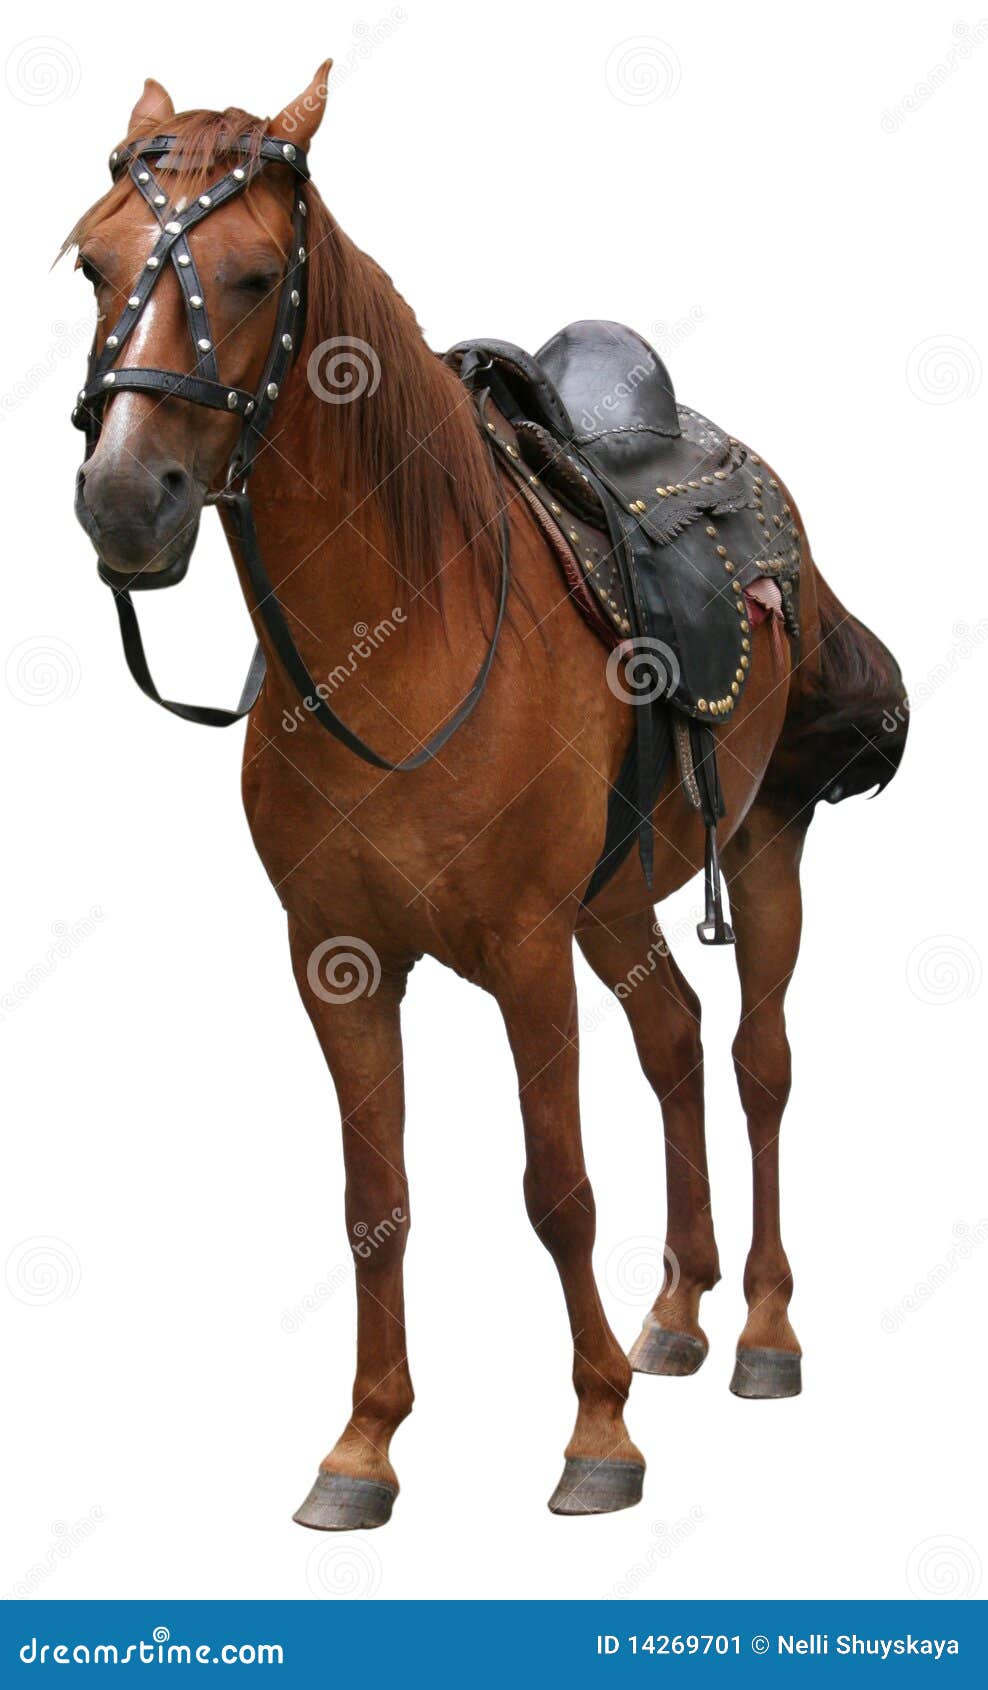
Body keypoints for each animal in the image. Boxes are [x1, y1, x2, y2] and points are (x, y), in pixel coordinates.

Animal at [64, 63, 908, 1529]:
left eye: (252, 277)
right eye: (92, 260)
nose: (127, 498)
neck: (406, 645)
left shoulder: (522, 948)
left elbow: (557, 1187)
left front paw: (598, 1433)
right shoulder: (337, 958)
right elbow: (375, 1198)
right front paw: (362, 1447)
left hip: (760, 844)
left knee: (759, 1061)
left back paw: (761, 1332)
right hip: (616, 899)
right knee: (678, 1040)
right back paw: (676, 1314)